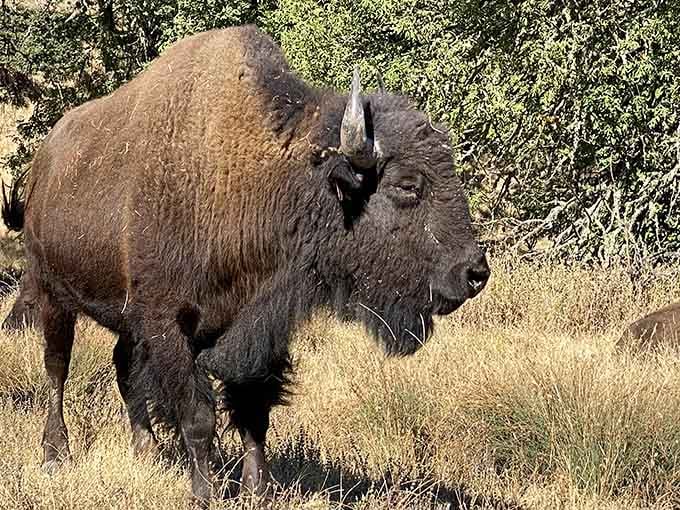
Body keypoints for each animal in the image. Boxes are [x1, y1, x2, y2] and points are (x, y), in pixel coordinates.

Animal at [2, 26, 489, 501]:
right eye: (407, 185)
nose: (475, 273)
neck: (262, 178)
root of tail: (42, 167)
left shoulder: (259, 327)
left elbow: (254, 412)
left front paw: (258, 490)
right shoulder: (169, 324)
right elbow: (198, 415)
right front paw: (205, 492)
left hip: (124, 317)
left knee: (122, 366)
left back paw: (146, 451)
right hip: (52, 294)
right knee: (57, 368)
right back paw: (55, 454)